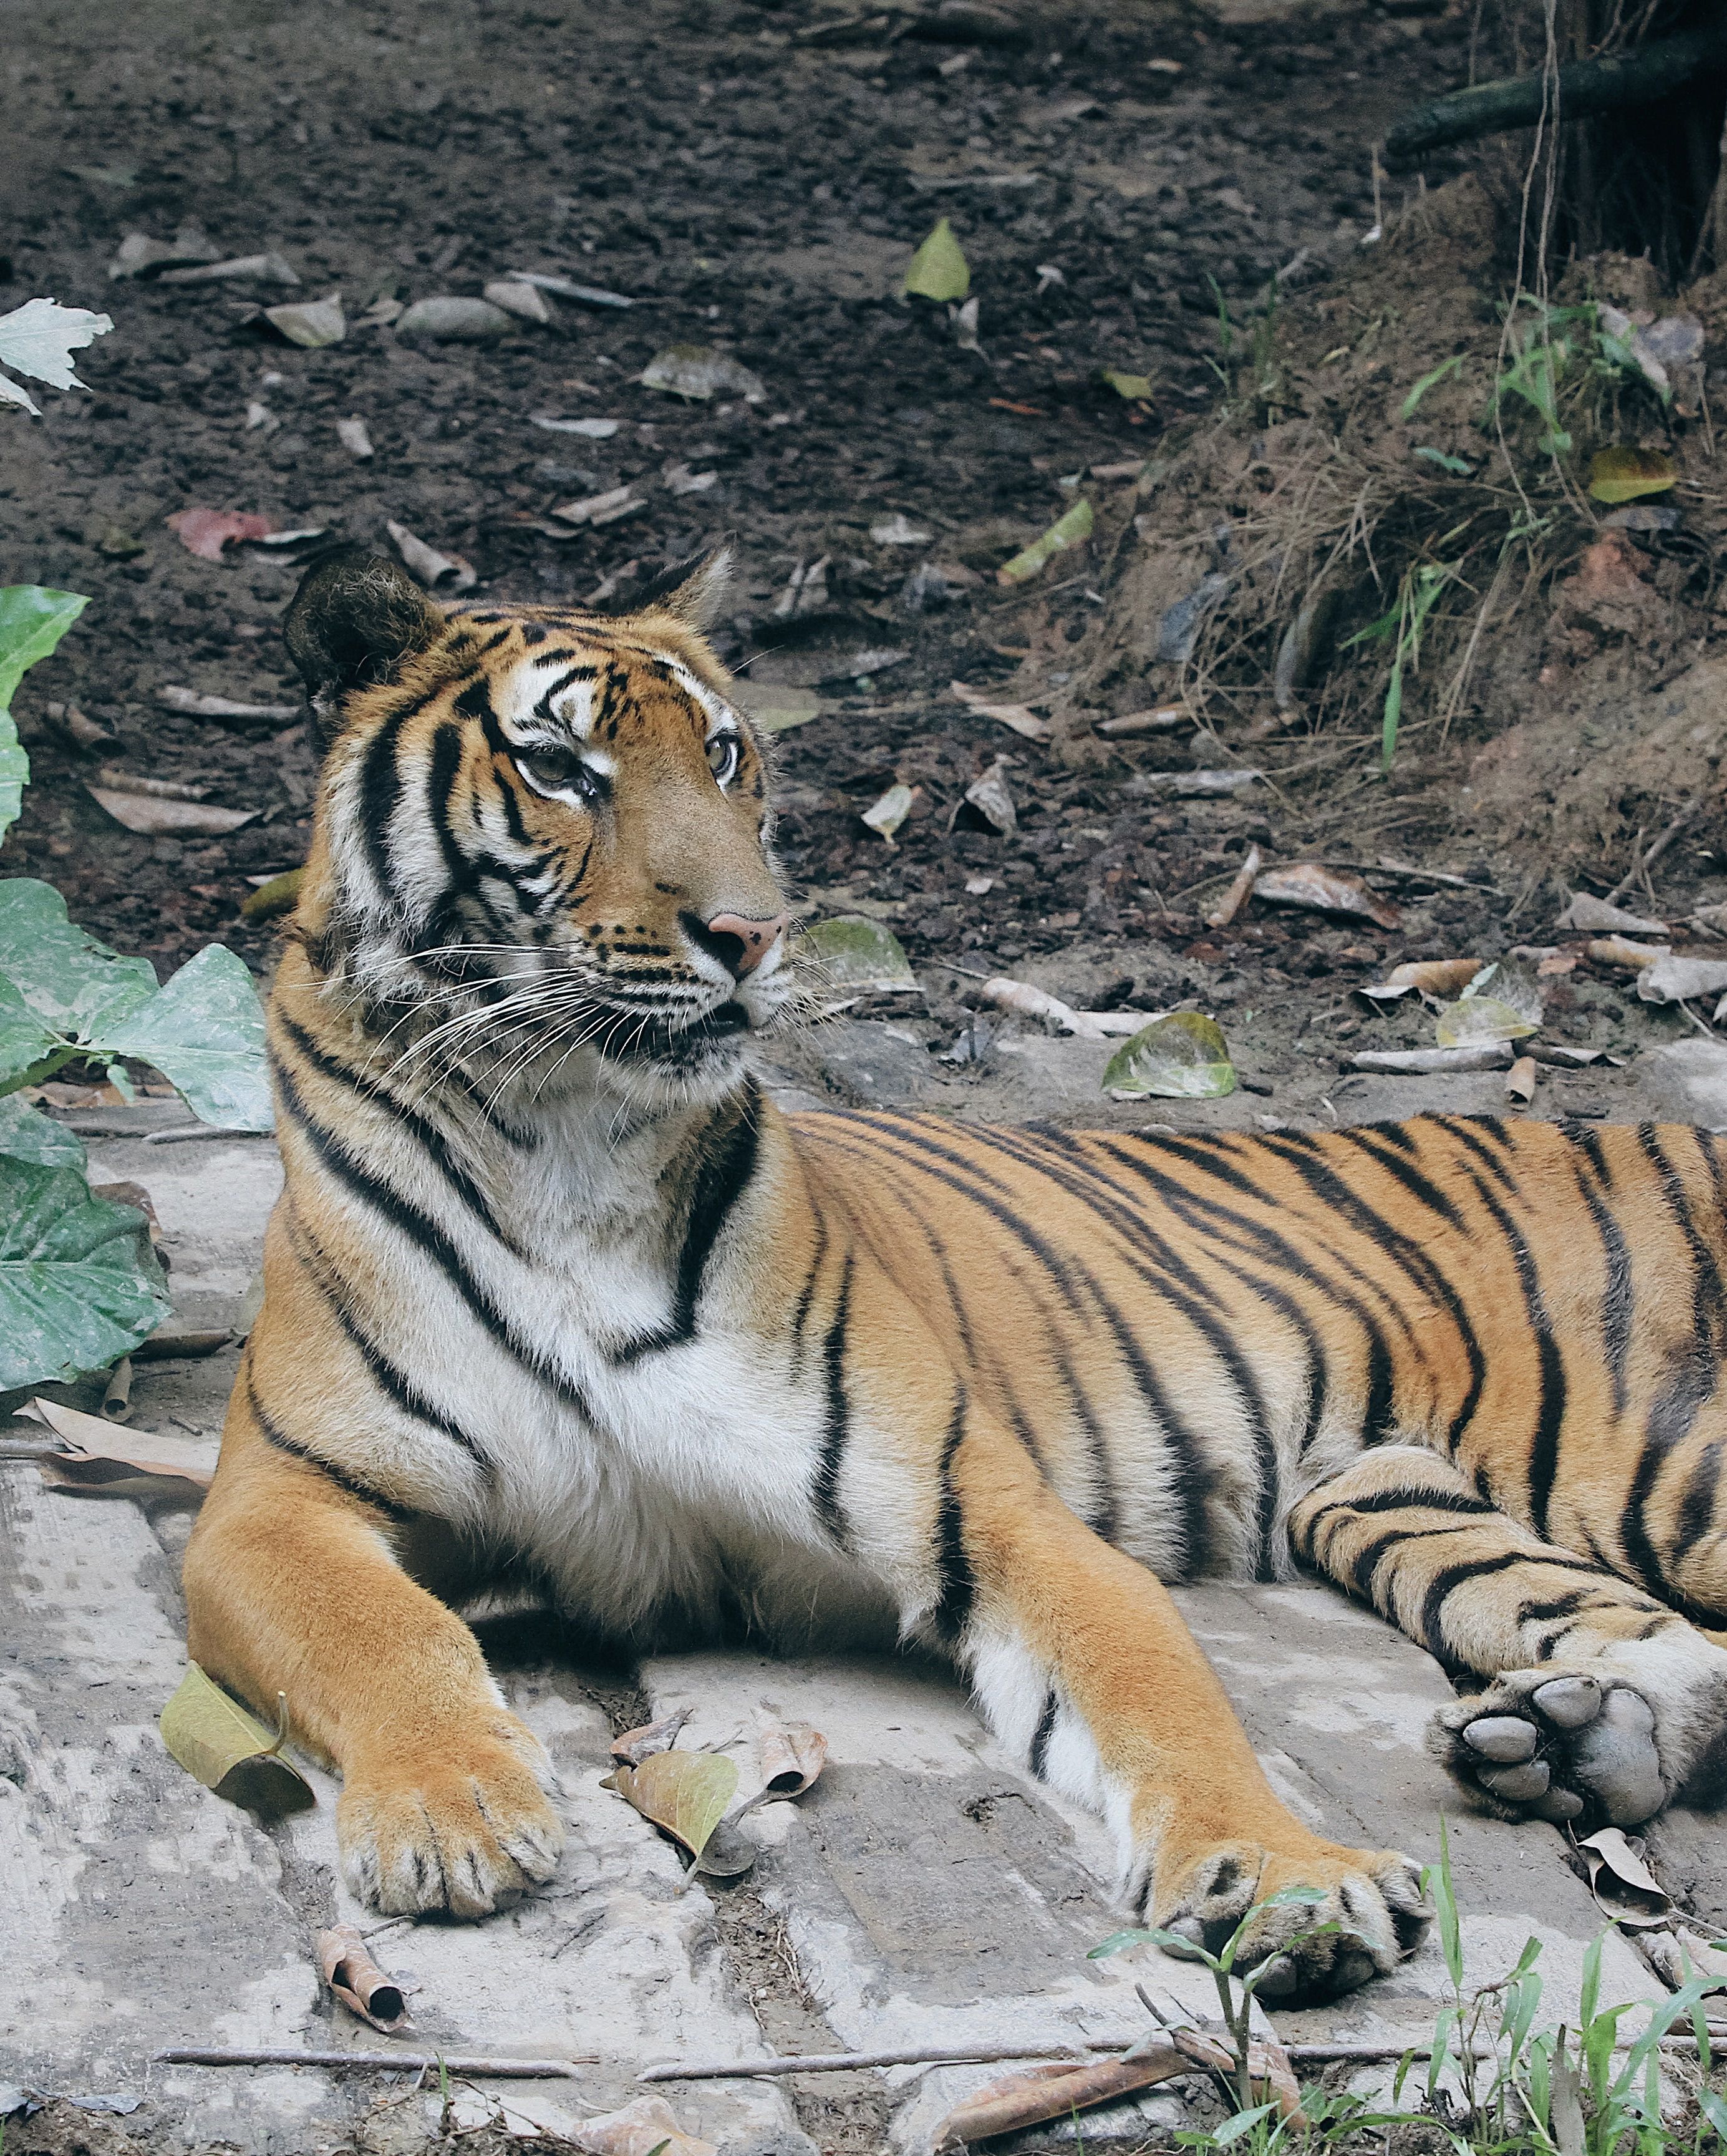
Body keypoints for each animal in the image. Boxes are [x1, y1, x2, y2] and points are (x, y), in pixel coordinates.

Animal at [181, 544, 1727, 2007]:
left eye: (724, 757)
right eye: (559, 769)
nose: (751, 936)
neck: (563, 1130)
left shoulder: (984, 1506)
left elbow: (1158, 1695)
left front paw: (1284, 1880)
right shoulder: (278, 1495)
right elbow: (385, 1632)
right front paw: (449, 1811)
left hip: (1655, 1465)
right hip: (1384, 1493)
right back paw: (1567, 1742)